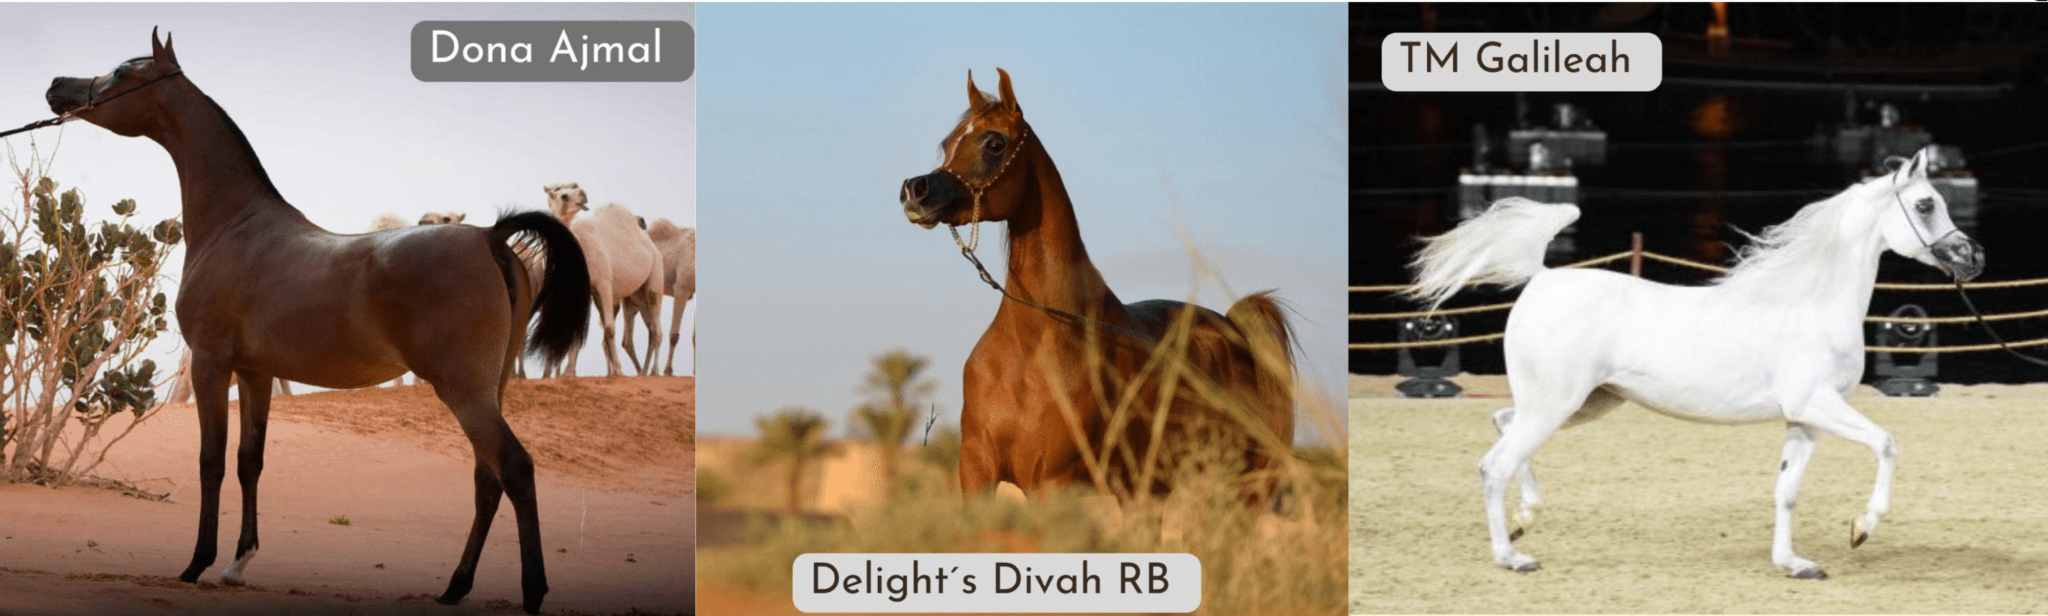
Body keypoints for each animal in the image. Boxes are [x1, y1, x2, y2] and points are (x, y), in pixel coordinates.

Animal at [47, 30, 590, 614]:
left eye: (123, 73)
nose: (57, 87)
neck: (235, 224)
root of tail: (490, 237)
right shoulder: (255, 373)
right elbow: (250, 460)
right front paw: (239, 563)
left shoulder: (212, 365)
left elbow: (212, 462)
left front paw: (198, 564)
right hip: (493, 387)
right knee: (487, 479)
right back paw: (455, 586)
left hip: (464, 390)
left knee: (514, 468)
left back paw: (531, 591)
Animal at [896, 68, 1298, 501]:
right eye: (948, 143)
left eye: (994, 143)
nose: (915, 190)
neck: (1034, 342)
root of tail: (1234, 329)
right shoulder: (976, 471)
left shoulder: (1052, 481)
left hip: (1240, 487)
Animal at [1405, 147, 1985, 579]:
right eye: (1927, 204)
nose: (1973, 258)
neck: (1811, 303)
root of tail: (1542, 278)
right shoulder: (1817, 405)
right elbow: (1886, 444)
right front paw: (1861, 528)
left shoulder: (1805, 420)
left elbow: (1787, 491)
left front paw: (1795, 564)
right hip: (1556, 405)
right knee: (1495, 464)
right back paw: (1513, 556)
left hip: (1581, 404)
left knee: (1502, 424)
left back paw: (1525, 519)